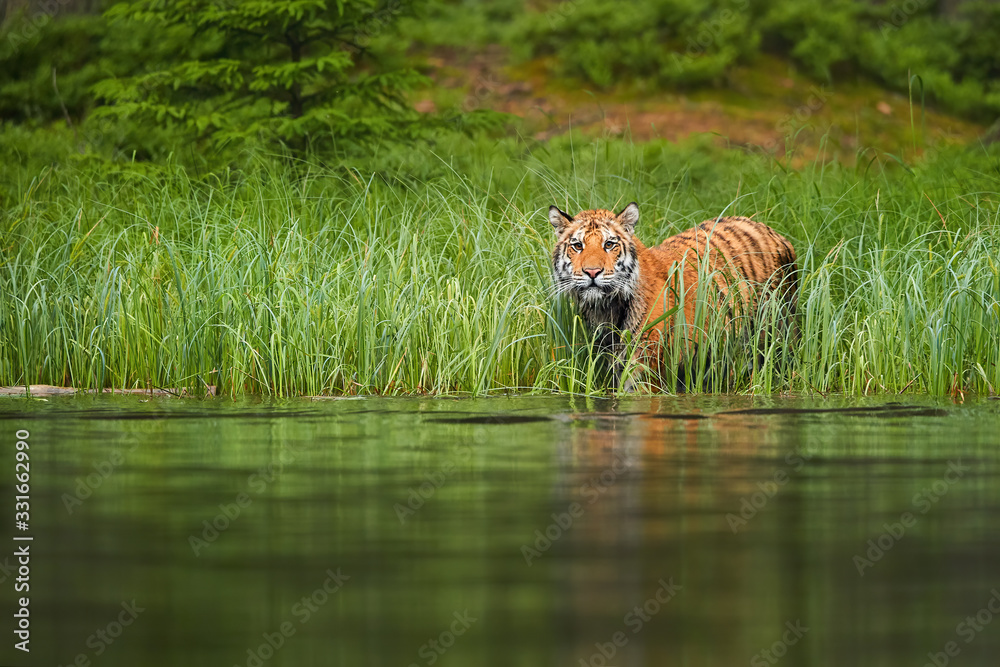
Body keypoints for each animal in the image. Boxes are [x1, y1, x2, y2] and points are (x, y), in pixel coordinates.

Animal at [549, 202, 798, 390]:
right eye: (577, 246)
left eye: (609, 244)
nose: (592, 272)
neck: (606, 308)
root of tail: (775, 233)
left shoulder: (645, 370)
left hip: (778, 332)